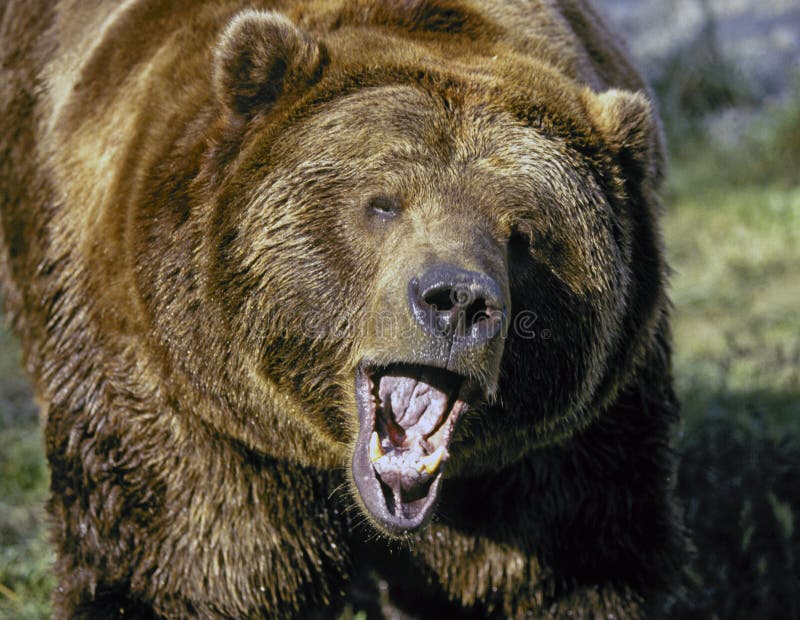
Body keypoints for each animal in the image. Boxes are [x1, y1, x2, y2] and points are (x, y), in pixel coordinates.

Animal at [0, 0, 686, 617]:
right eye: (382, 203)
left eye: (524, 234)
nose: (457, 300)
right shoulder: (192, 409)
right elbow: (184, 574)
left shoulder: (557, 449)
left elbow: (562, 573)